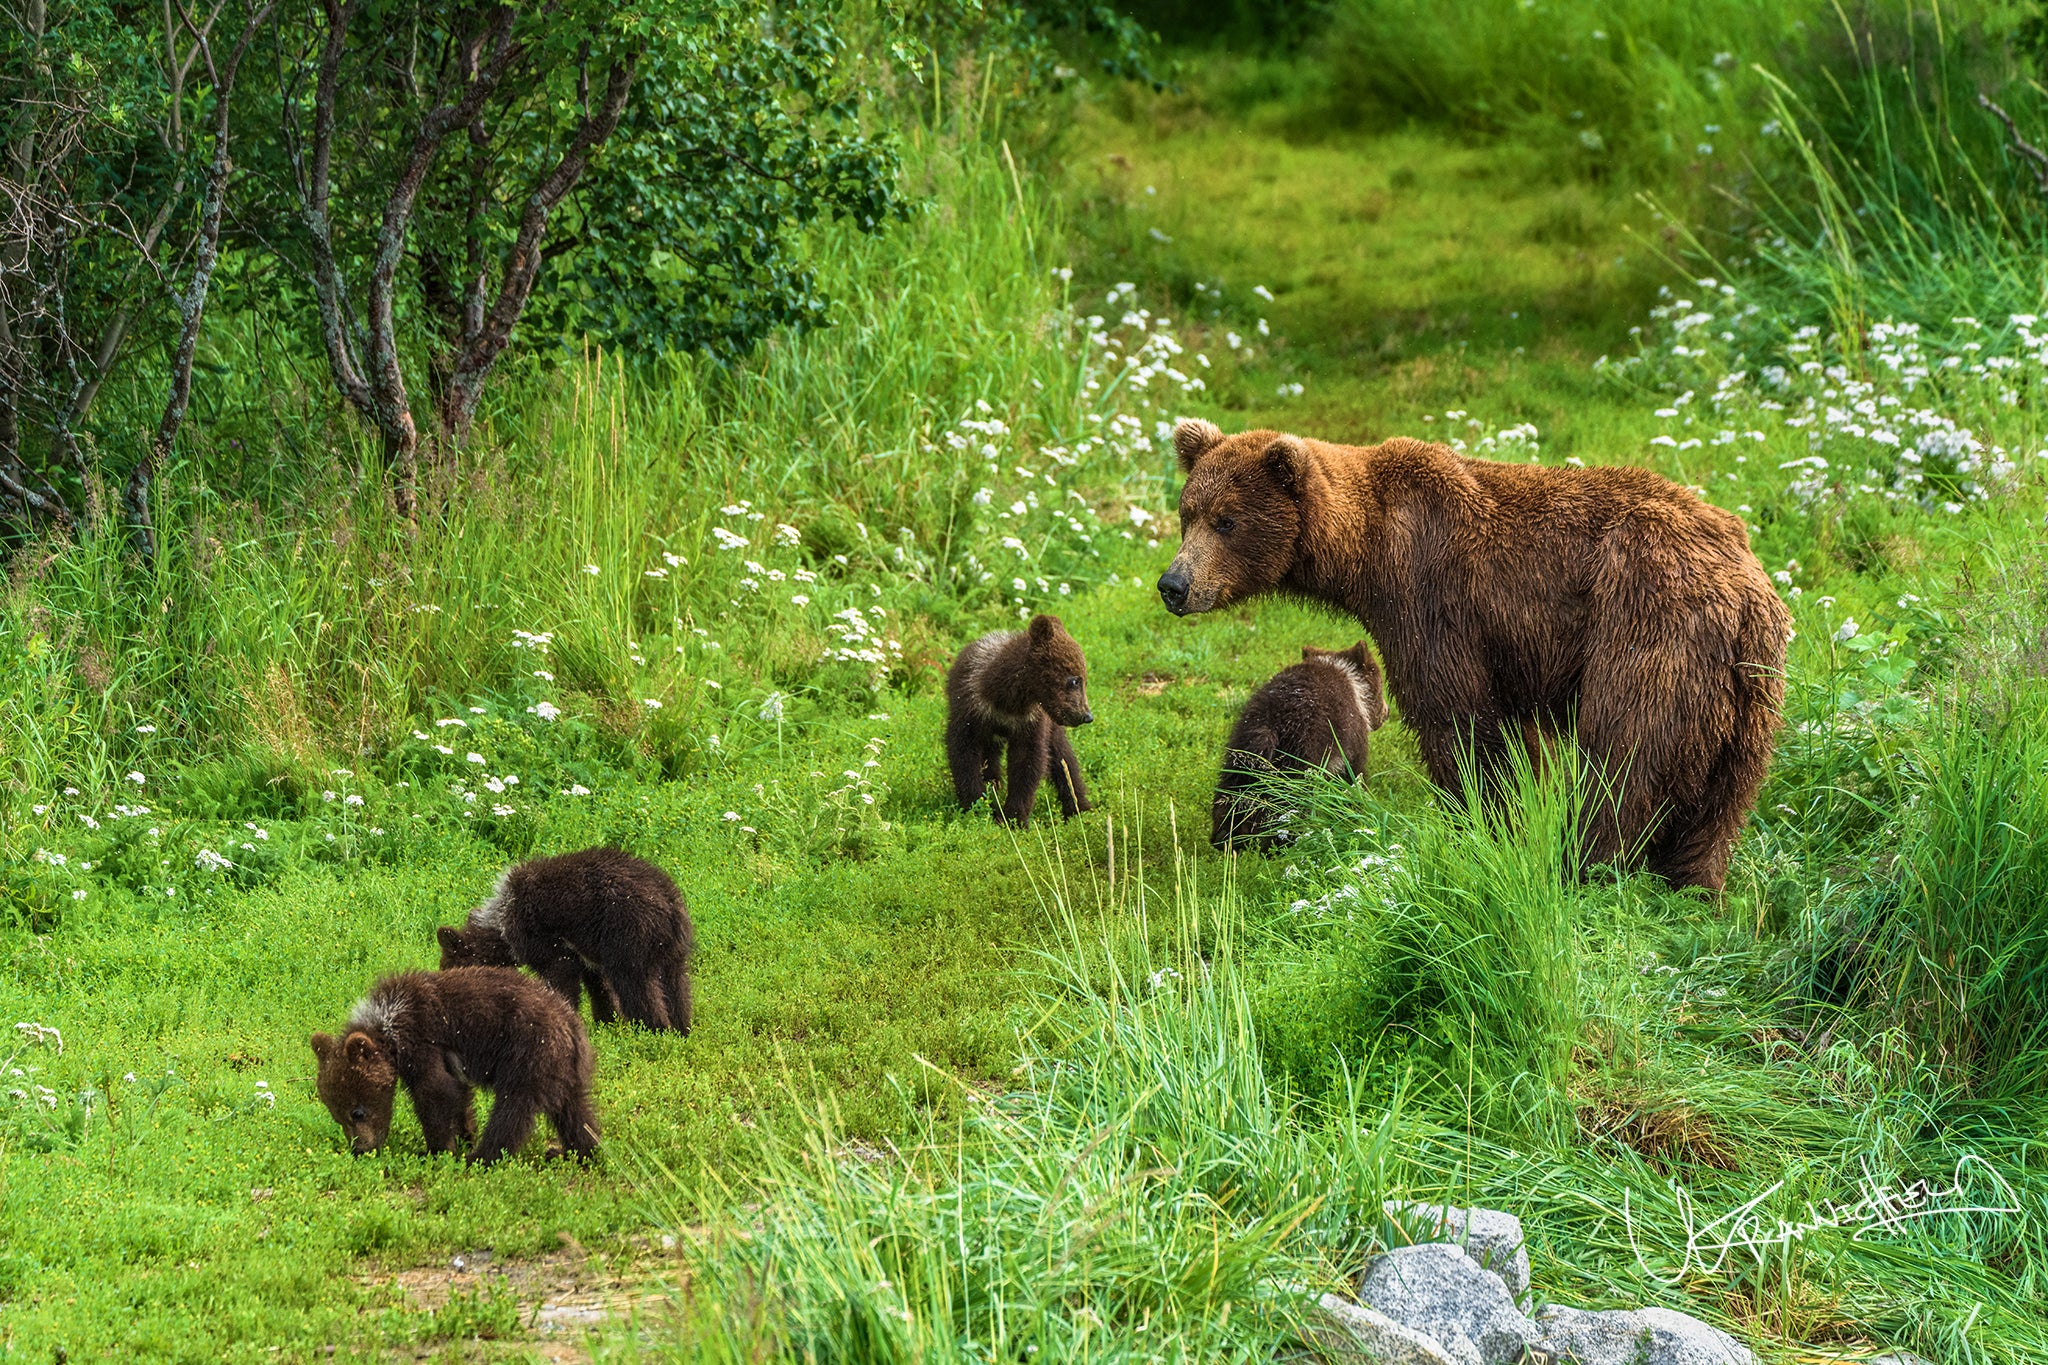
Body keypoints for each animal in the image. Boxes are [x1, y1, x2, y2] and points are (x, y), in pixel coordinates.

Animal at [309, 965, 598, 1165]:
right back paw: (576, 1151)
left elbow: (435, 1092)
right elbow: (458, 1093)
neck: (388, 1030)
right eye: (335, 1115)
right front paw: (463, 1134)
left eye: (357, 1112)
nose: (360, 1149)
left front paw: (436, 1149)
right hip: (562, 1068)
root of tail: (571, 1022)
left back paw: (481, 1157)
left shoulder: (423, 1040)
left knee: (512, 1110)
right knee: (574, 1111)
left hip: (528, 1054)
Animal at [436, 847, 694, 1035]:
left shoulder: (549, 943)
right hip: (671, 949)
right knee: (676, 985)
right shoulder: (587, 952)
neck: (503, 924)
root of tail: (670, 901)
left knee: (637, 986)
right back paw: (681, 1028)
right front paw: (605, 1021)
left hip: (631, 936)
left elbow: (561, 980)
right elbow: (598, 987)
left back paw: (653, 1029)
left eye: (449, 967)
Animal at [944, 613, 1095, 827]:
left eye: (1084, 679)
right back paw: (994, 786)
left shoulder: (1031, 721)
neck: (1008, 700)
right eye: (1074, 680)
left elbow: (1027, 762)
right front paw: (978, 805)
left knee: (1063, 758)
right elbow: (964, 754)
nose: (1086, 715)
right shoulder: (971, 707)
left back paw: (1078, 808)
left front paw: (1014, 817)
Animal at [1212, 640, 1388, 851]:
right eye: (1381, 684)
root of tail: (1268, 724)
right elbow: (1353, 776)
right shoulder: (1350, 739)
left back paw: (1226, 838)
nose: (1386, 713)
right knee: (1288, 801)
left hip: (1241, 749)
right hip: (1299, 754)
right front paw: (1359, 811)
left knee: (1231, 792)